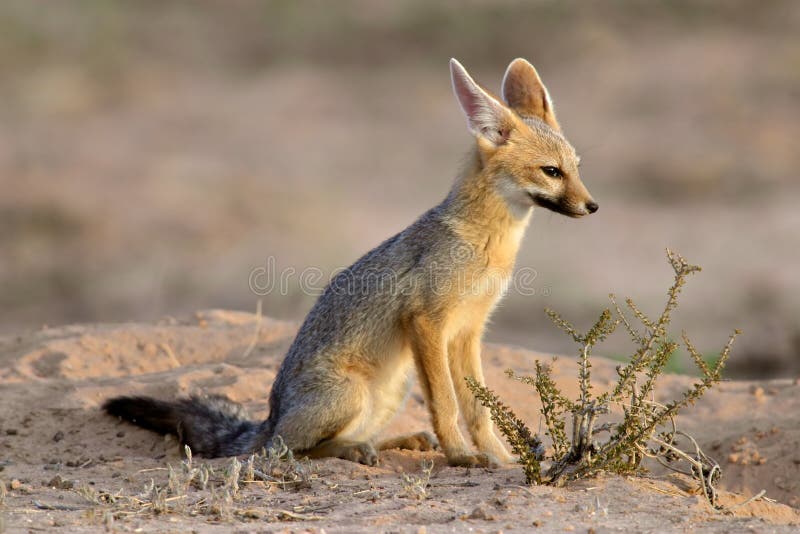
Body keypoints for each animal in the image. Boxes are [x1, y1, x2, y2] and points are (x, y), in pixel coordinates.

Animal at [104, 58, 597, 468]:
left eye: (576, 167)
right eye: (552, 172)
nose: (592, 206)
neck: (487, 244)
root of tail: (269, 419)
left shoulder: (468, 332)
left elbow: (479, 408)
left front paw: (501, 458)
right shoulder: (427, 322)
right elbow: (446, 404)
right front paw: (462, 457)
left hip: (392, 390)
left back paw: (391, 442)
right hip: (351, 394)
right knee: (292, 450)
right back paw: (355, 450)